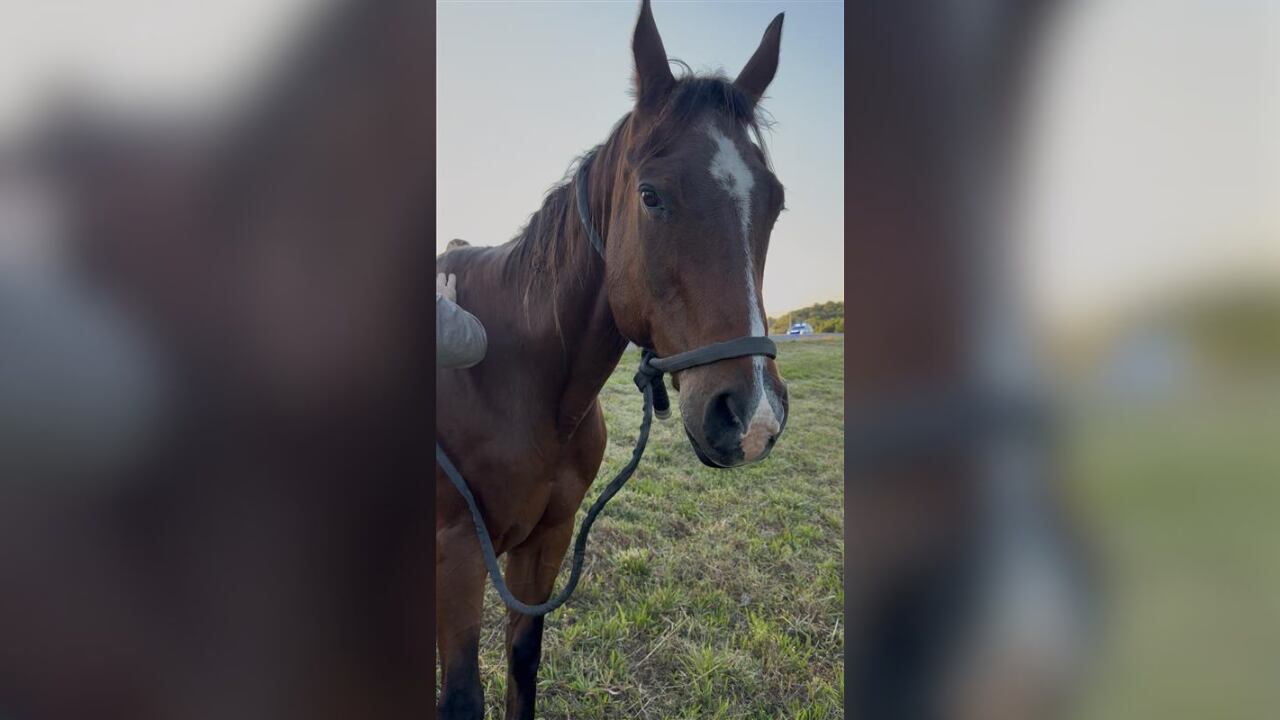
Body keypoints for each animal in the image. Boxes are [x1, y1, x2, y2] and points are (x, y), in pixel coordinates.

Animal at [435, 2, 788, 718]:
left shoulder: (546, 542)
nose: (753, 418)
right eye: (650, 195)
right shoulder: (455, 551)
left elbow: (523, 661)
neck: (520, 383)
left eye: (775, 202)